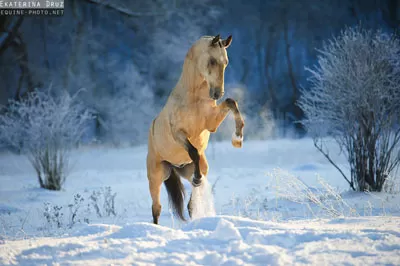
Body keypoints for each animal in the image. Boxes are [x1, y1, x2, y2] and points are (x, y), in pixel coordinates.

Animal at [147, 33, 244, 224]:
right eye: (212, 61)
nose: (217, 93)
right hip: (156, 176)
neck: (193, 99)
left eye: (226, 62)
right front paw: (198, 179)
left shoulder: (211, 123)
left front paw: (238, 138)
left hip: (191, 169)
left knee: (190, 204)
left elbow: (231, 102)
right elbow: (192, 150)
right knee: (156, 208)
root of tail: (174, 166)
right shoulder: (178, 133)